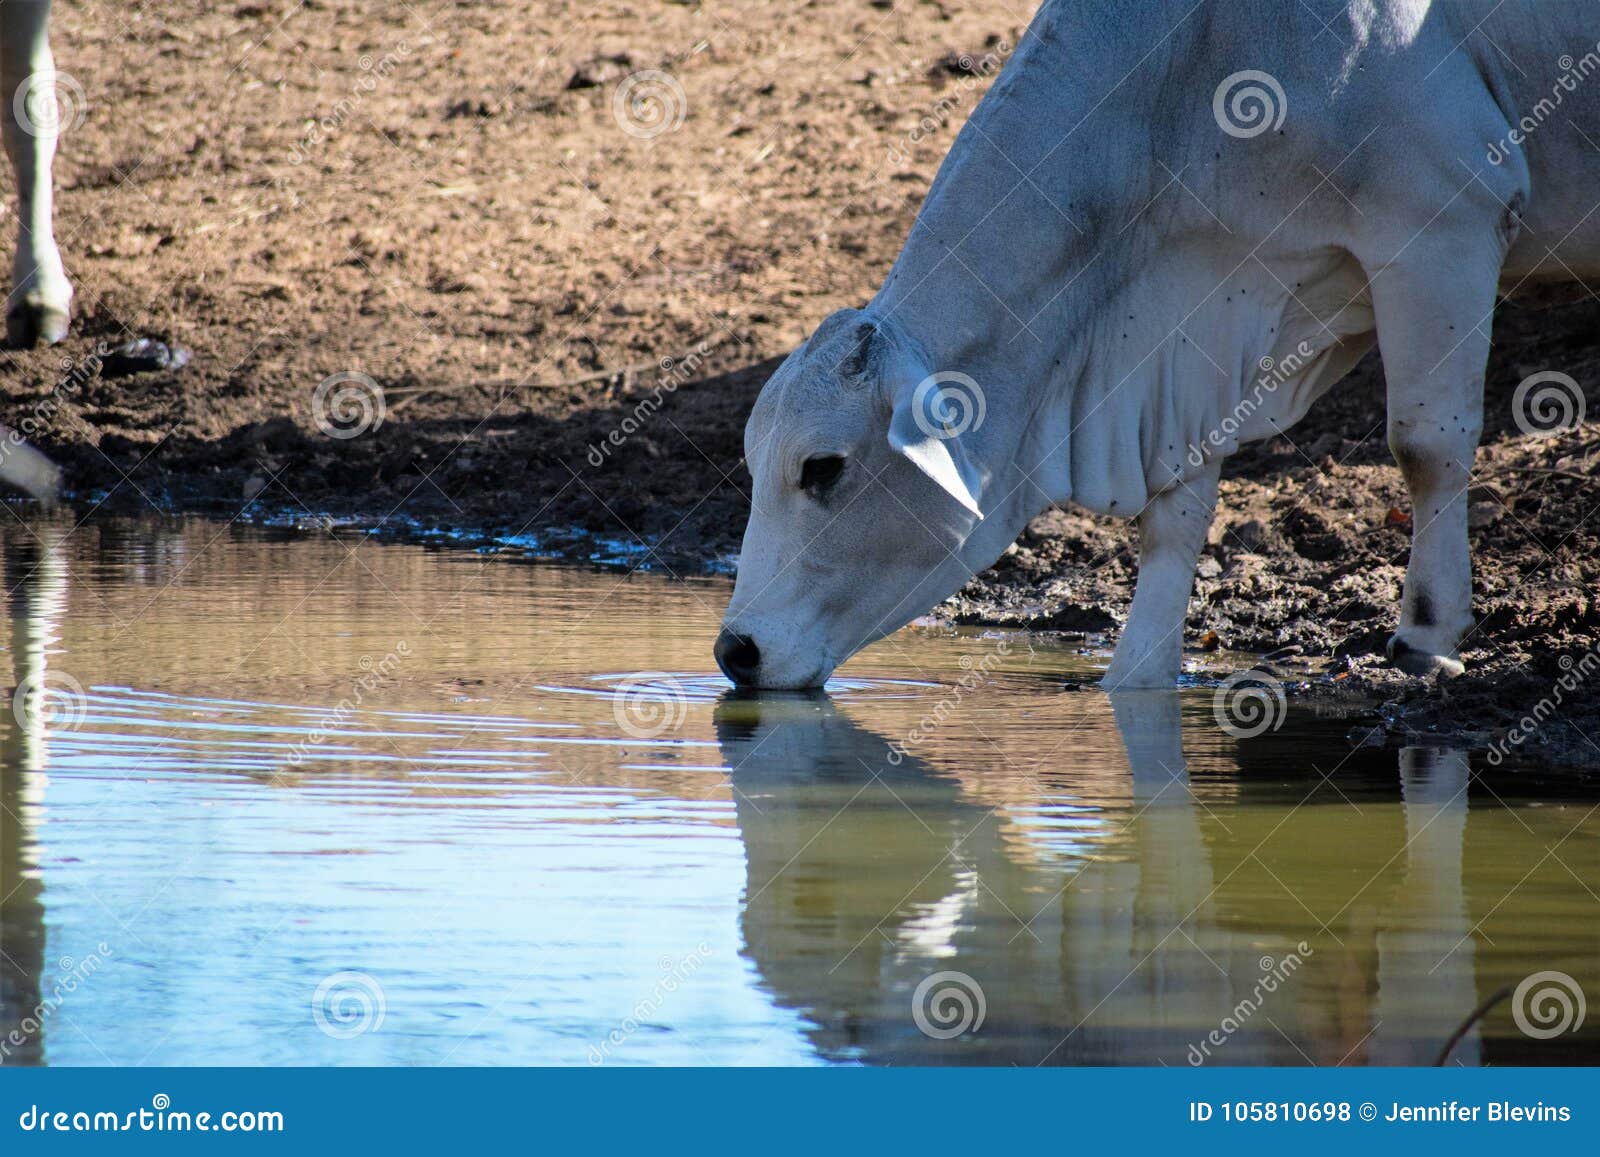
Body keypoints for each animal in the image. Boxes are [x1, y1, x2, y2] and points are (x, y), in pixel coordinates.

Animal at [716, 0, 1600, 690]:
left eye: (822, 467)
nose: (734, 650)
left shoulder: (1444, 219)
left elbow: (1425, 446)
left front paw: (1427, 634)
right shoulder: (1199, 322)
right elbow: (1176, 513)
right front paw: (1134, 675)